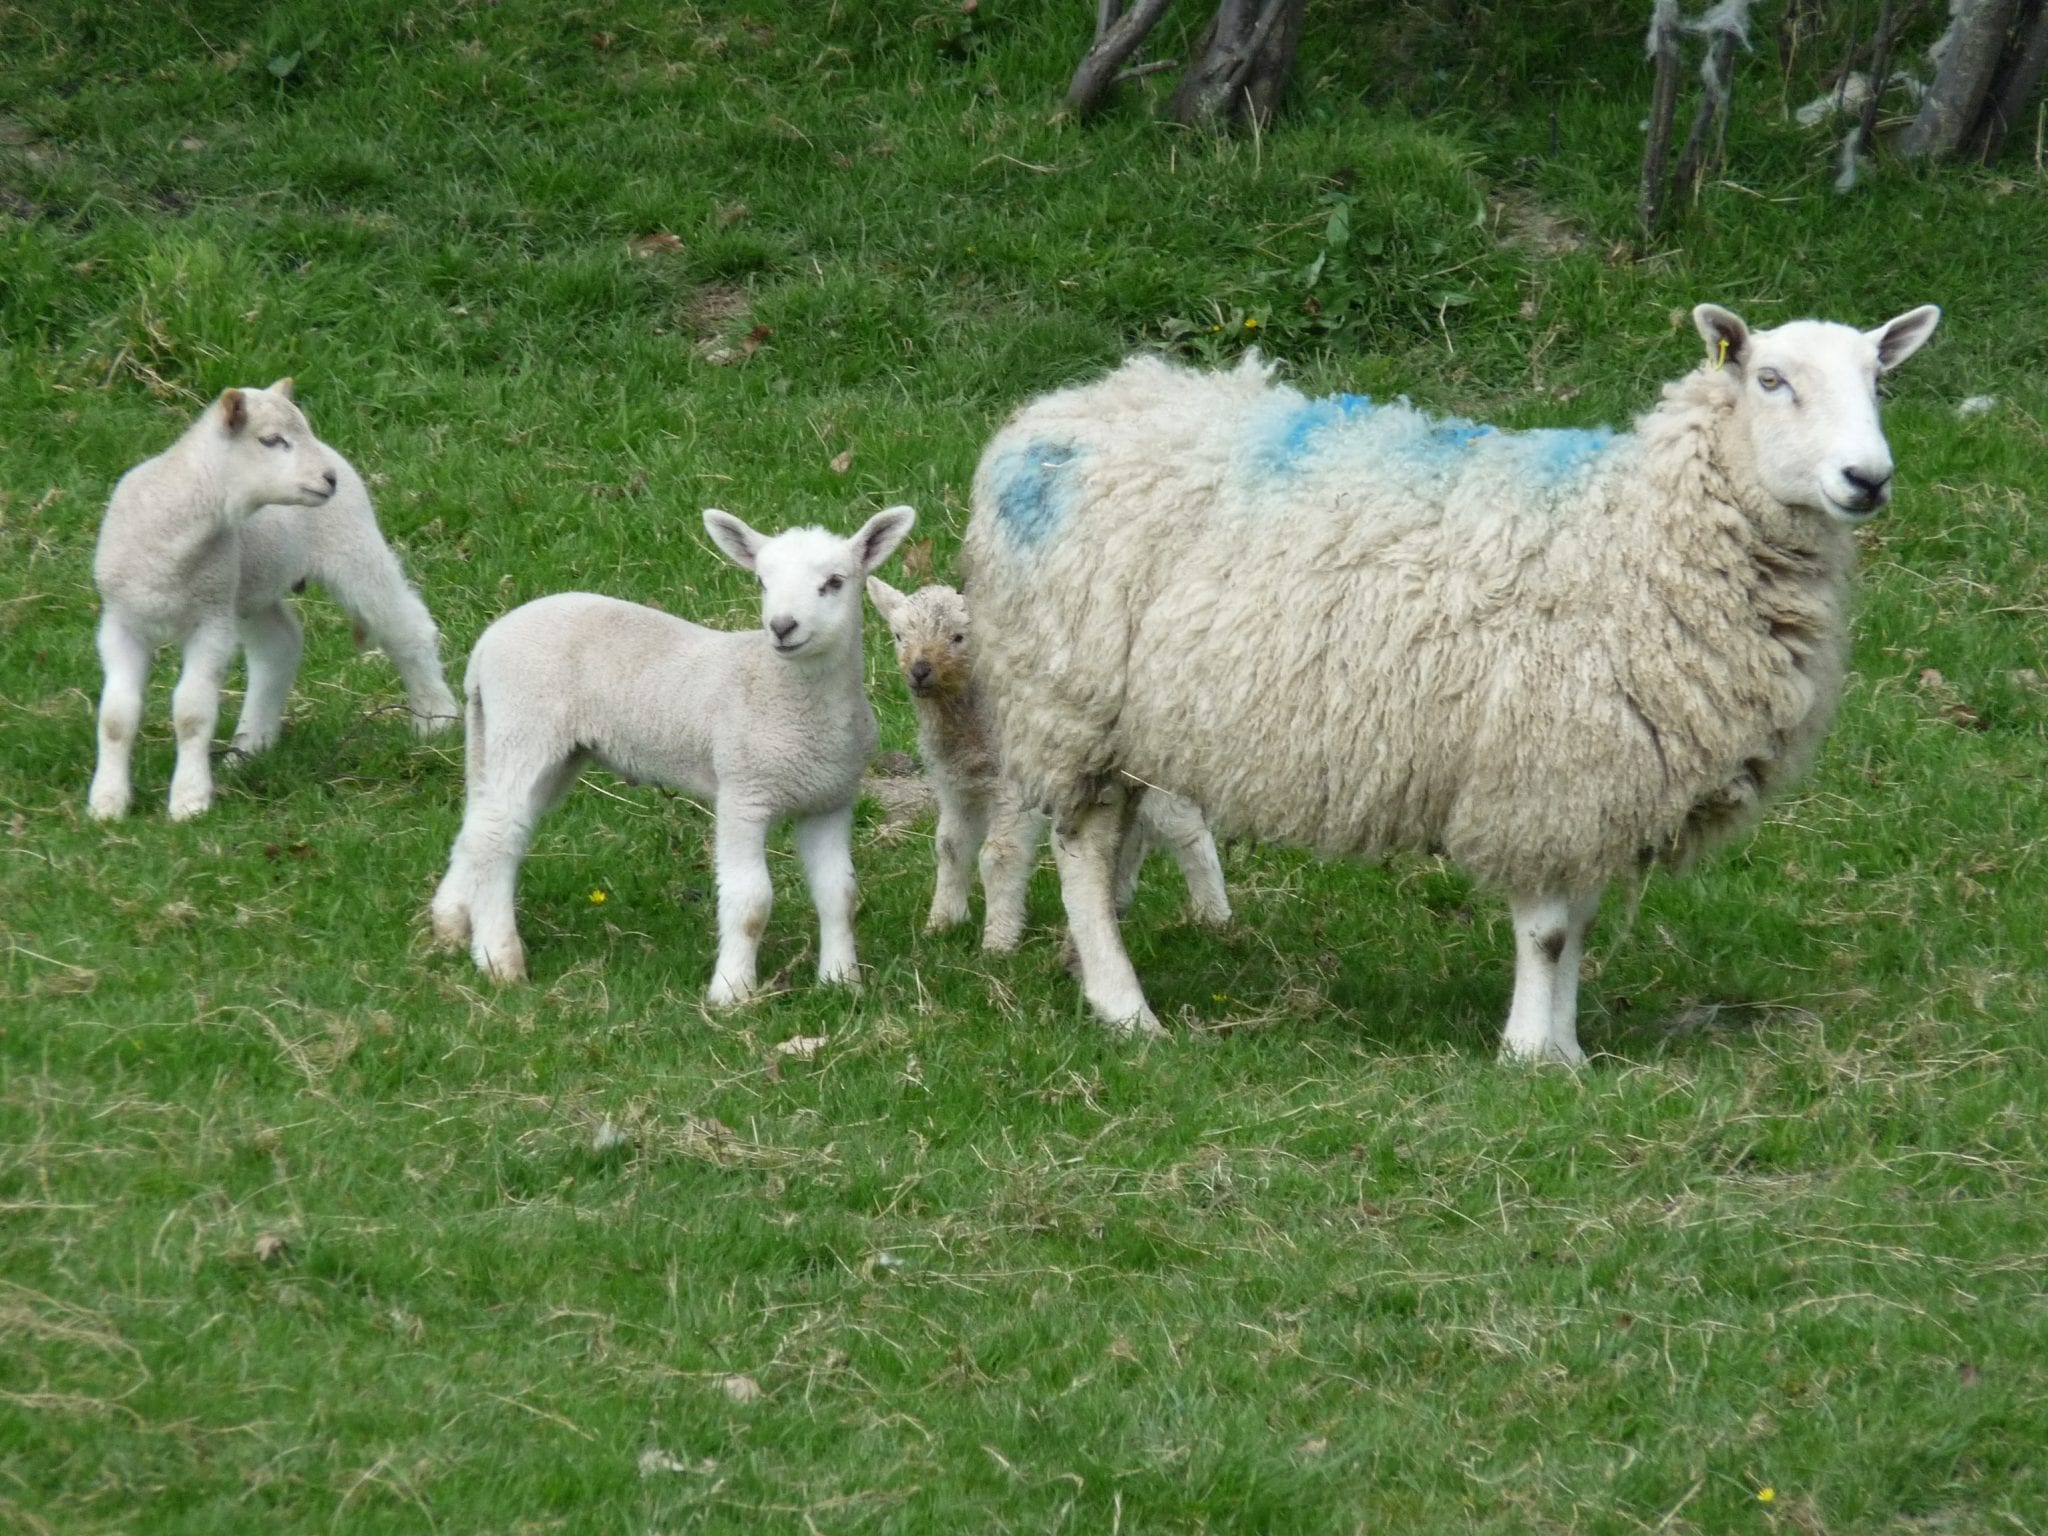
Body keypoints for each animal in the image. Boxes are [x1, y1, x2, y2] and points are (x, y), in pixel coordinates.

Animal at [88, 380, 459, 822]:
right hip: (252, 589)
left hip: (353, 548)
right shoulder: (120, 623)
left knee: (407, 629)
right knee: (279, 646)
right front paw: (107, 803)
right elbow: (116, 716)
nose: (328, 479)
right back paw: (250, 747)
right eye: (271, 440)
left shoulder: (211, 622)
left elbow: (192, 713)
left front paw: (190, 800)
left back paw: (436, 719)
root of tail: (335, 453)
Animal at [430, 505, 916, 1002]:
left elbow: (840, 894)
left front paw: (841, 981)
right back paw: (500, 959)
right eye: (762, 581)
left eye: (835, 582)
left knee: (483, 824)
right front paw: (732, 992)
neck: (790, 698)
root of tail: (486, 645)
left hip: (543, 749)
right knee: (497, 837)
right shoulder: (743, 794)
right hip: (525, 727)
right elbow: (751, 902)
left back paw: (452, 924)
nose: (782, 627)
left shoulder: (830, 801)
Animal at [866, 577, 1231, 949]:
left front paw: (999, 940)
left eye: (958, 636)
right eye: (899, 635)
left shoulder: (1012, 793)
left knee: (1190, 834)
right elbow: (949, 847)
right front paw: (942, 923)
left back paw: (1214, 917)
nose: (919, 672)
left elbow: (999, 854)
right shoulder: (955, 788)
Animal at [959, 302, 1942, 1060]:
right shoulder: (1541, 765)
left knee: (1112, 841)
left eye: (1879, 382)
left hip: (1124, 717)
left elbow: (1577, 925)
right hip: (1069, 694)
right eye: (1772, 380)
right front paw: (1528, 1057)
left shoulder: (1592, 783)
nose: (1868, 478)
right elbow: (1548, 931)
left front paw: (1568, 1052)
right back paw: (1124, 1008)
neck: (1640, 527)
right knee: (1082, 847)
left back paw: (1096, 969)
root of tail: (1053, 411)